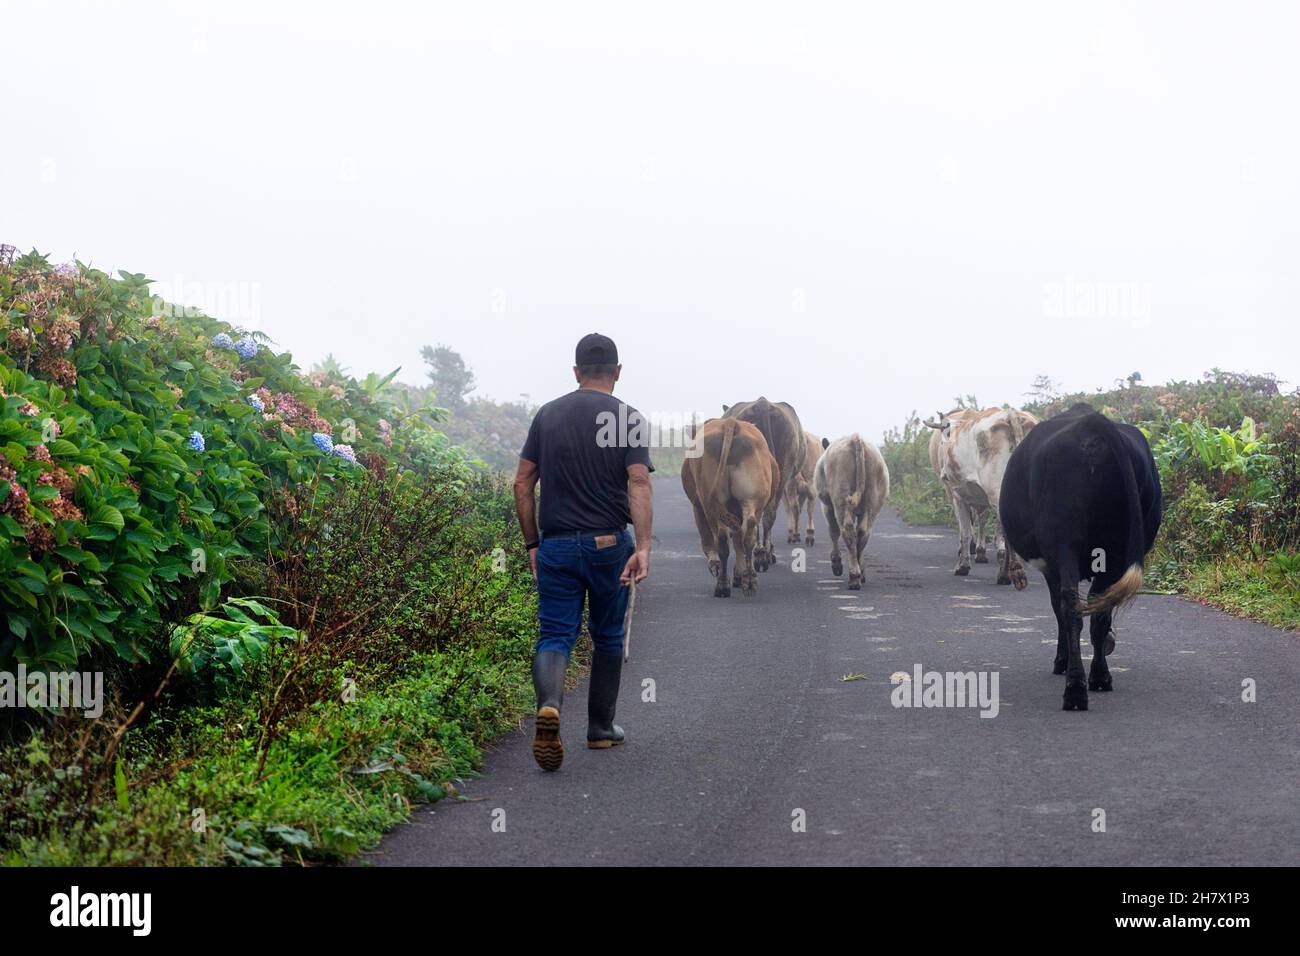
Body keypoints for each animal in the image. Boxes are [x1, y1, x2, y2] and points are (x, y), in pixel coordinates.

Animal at [681, 417, 781, 597]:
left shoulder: (697, 506)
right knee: (746, 532)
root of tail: (731, 423)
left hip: (712, 505)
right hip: (750, 500)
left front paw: (718, 566)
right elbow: (738, 540)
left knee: (723, 537)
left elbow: (709, 540)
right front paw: (739, 575)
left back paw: (724, 584)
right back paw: (748, 580)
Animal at [814, 434, 890, 590]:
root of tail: (855, 438)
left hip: (840, 498)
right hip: (872, 500)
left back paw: (854, 576)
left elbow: (833, 532)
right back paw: (860, 573)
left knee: (846, 531)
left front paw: (836, 563)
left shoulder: (828, 507)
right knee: (863, 532)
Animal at [923, 406, 1039, 585]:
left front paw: (963, 566)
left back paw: (1008, 573)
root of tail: (1011, 415)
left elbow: (965, 531)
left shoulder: (957, 494)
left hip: (996, 492)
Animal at [999, 404, 1163, 711]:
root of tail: (1090, 423)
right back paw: (1098, 677)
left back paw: (1074, 688)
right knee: (1098, 610)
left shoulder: (1051, 565)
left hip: (1064, 543)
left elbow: (1057, 609)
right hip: (1115, 548)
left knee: (1071, 607)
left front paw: (1061, 661)